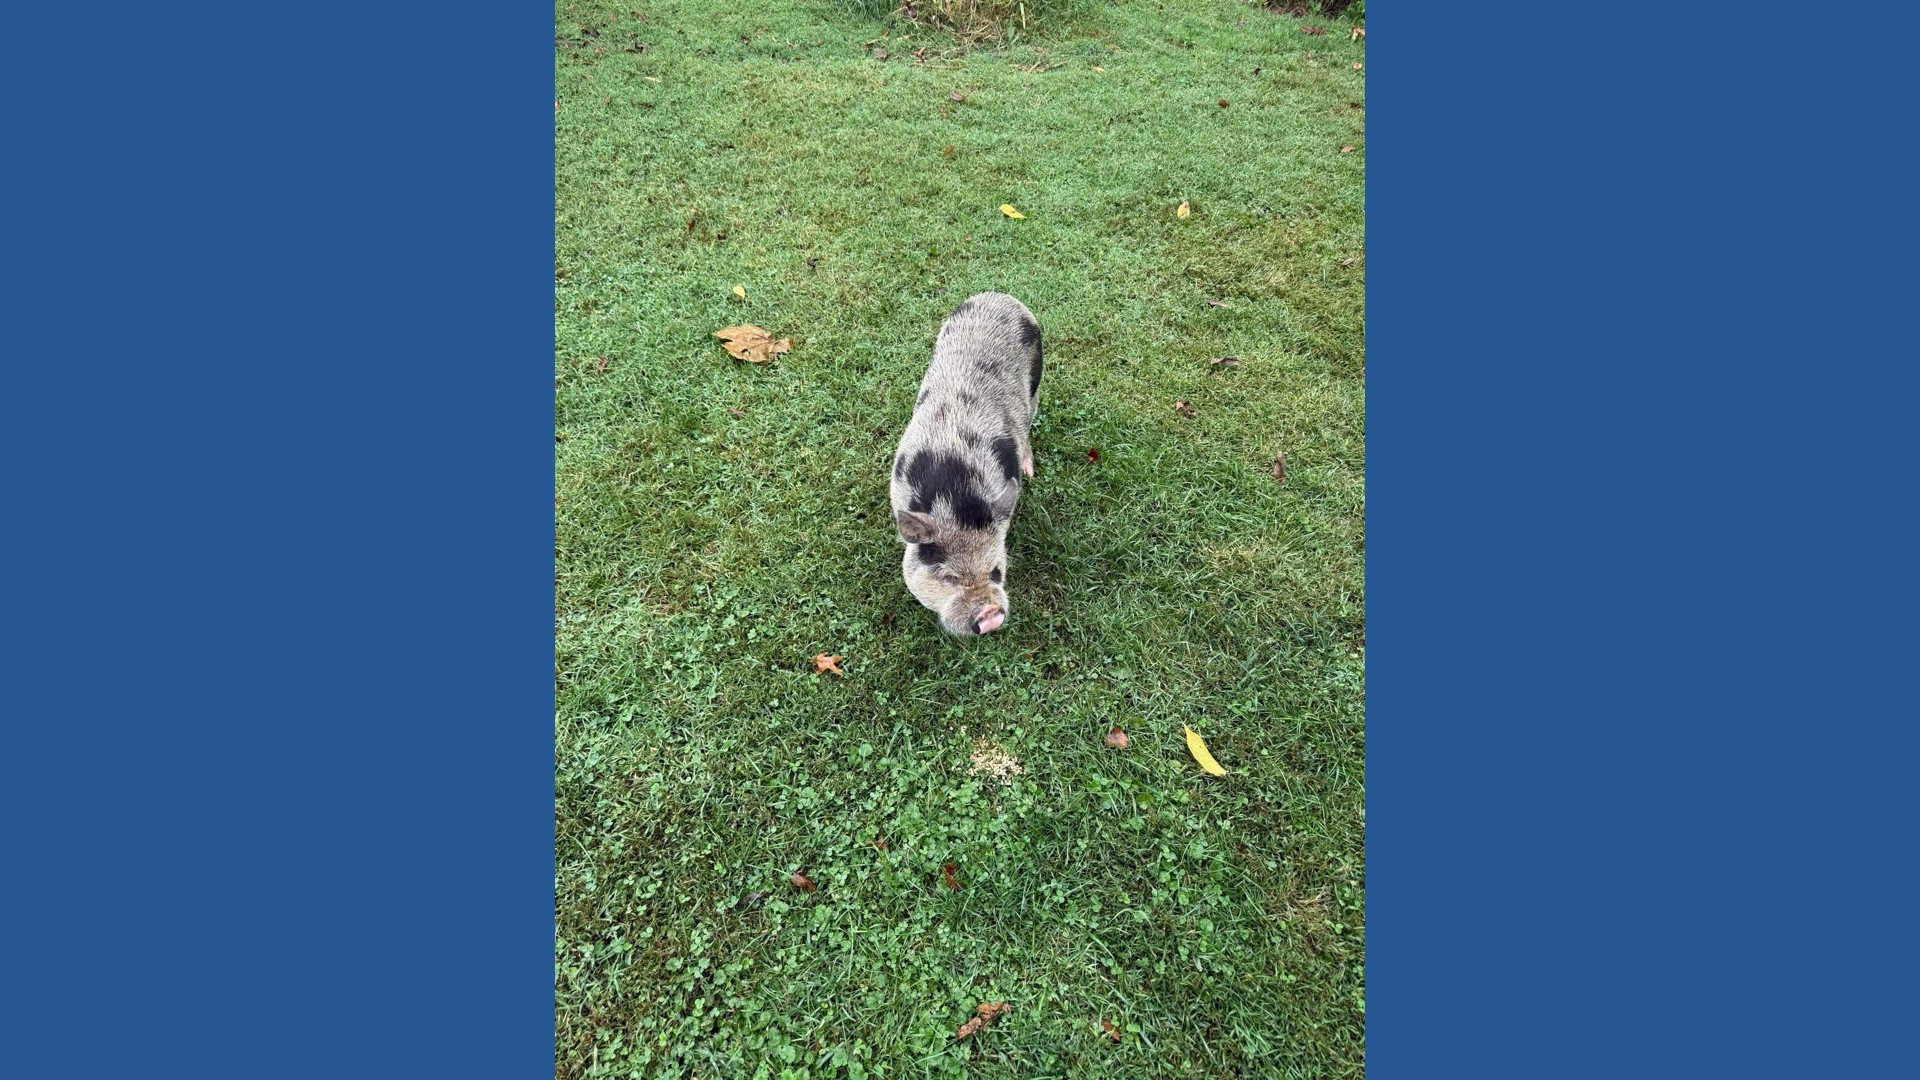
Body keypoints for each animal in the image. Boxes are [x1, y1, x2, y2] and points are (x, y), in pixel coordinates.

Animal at [889, 292, 1043, 636]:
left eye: (996, 572)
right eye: (950, 577)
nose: (990, 614)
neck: (954, 495)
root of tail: (1000, 296)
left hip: (1037, 374)